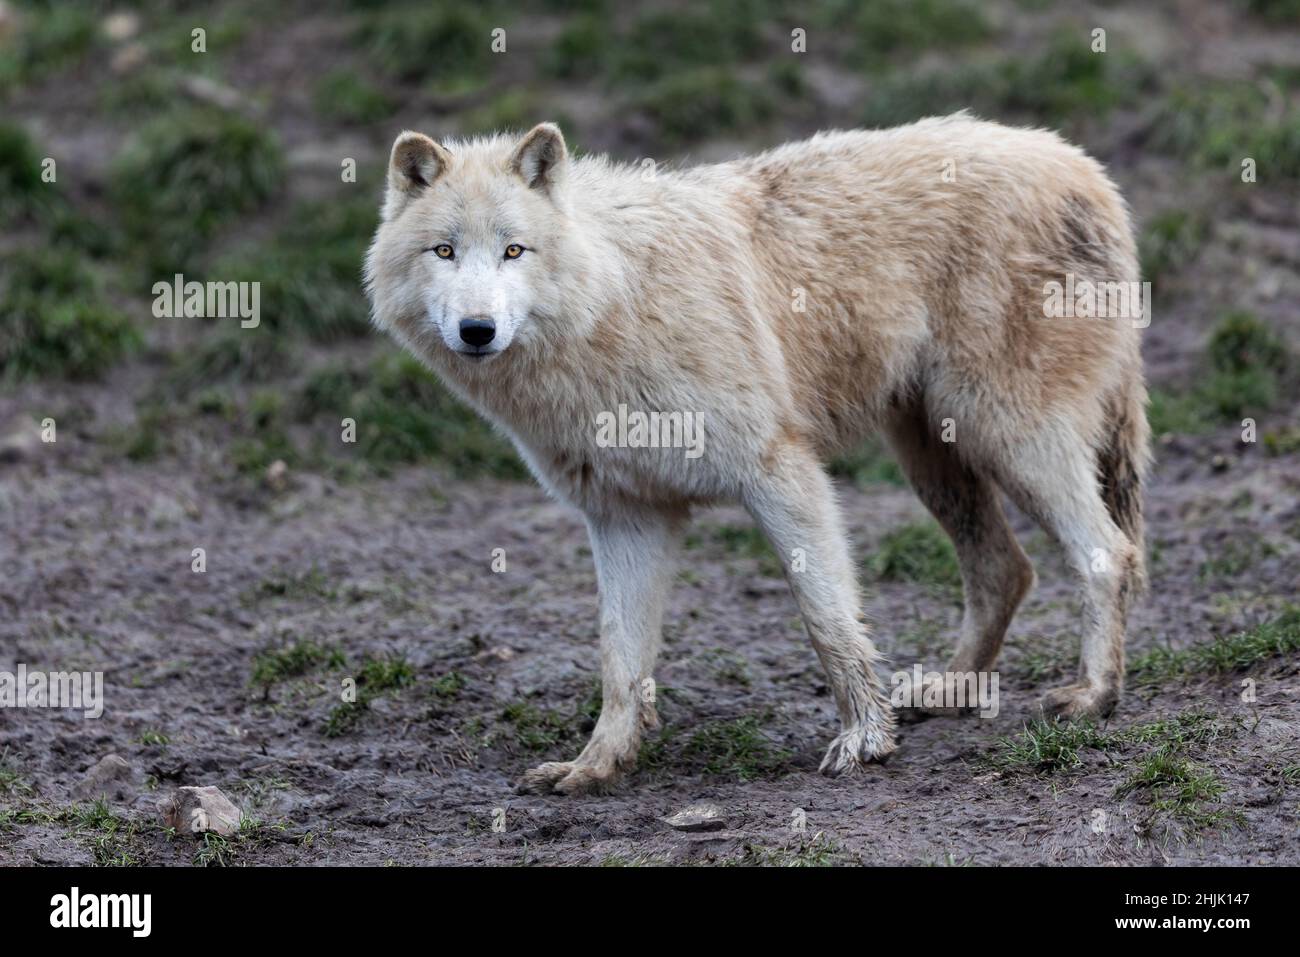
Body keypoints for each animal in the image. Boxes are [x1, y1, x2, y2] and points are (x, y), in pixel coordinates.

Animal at [365, 114, 1149, 795]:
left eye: (513, 250)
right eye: (444, 251)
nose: (477, 329)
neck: (613, 301)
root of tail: (1085, 168)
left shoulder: (780, 472)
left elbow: (828, 620)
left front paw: (865, 740)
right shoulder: (626, 516)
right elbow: (619, 659)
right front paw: (597, 764)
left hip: (1008, 434)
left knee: (1109, 552)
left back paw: (1093, 696)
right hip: (934, 454)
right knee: (1005, 568)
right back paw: (953, 689)